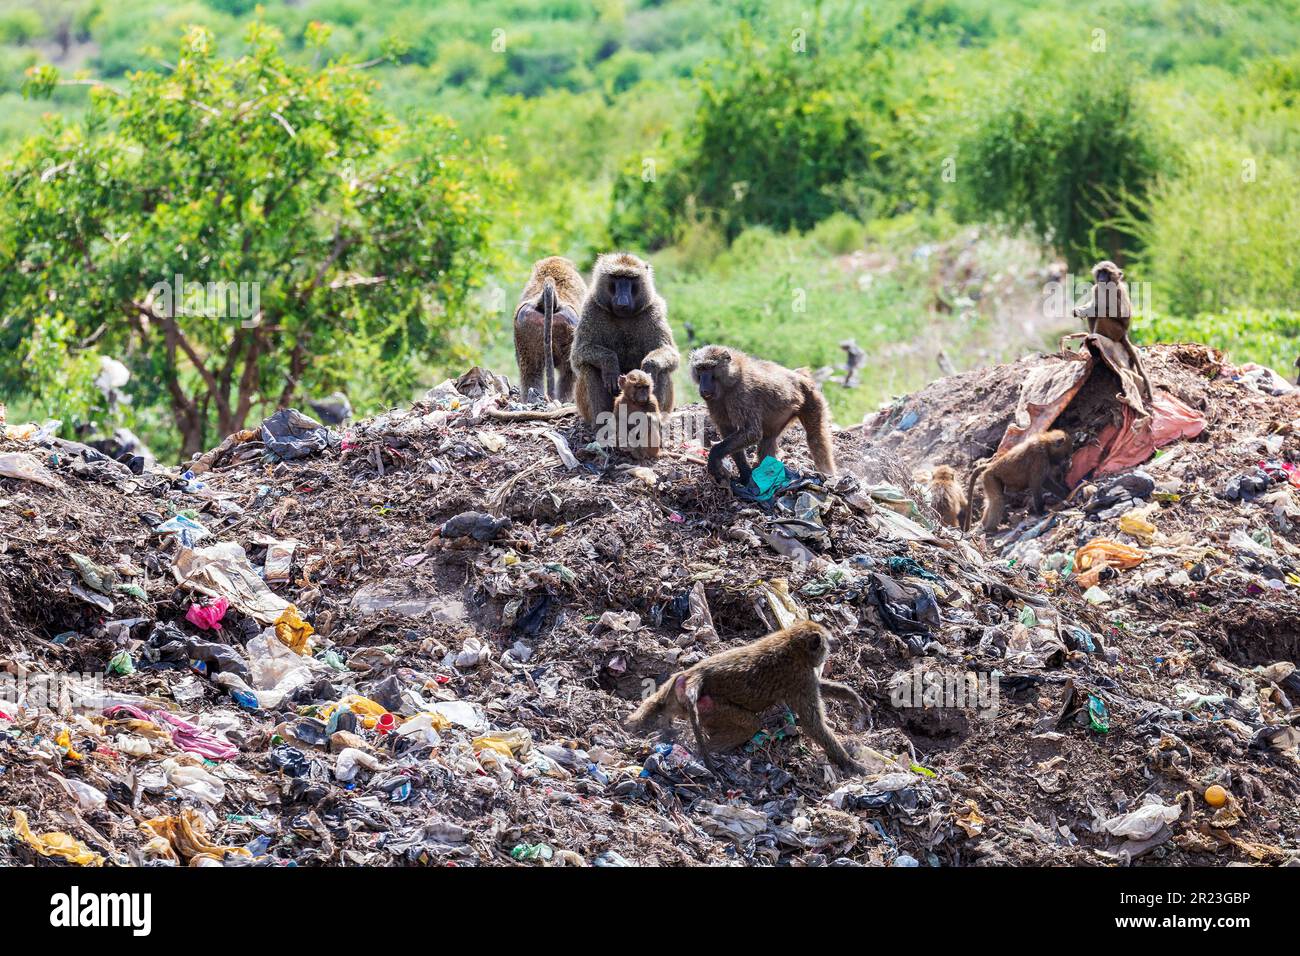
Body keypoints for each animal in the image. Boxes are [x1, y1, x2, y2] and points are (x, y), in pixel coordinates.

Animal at [570, 252, 679, 426]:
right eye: (616, 277)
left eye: (630, 278)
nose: (622, 301)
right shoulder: (591, 307)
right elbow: (578, 353)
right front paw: (610, 364)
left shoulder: (654, 309)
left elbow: (668, 352)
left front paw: (649, 366)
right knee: (589, 368)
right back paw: (601, 423)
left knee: (662, 371)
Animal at [624, 621, 866, 775]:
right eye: (826, 642)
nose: (834, 645)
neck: (792, 644)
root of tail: (695, 675)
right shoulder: (800, 677)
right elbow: (813, 724)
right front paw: (850, 763)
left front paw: (851, 696)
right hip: (712, 707)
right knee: (750, 724)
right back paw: (711, 749)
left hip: (673, 687)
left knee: (656, 703)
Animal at [688, 345, 836, 484]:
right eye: (700, 368)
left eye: (711, 367)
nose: (704, 388)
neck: (732, 378)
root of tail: (800, 376)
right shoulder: (715, 401)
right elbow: (728, 430)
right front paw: (745, 475)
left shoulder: (742, 395)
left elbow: (752, 432)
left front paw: (714, 458)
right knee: (768, 440)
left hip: (812, 397)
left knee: (815, 437)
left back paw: (827, 473)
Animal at [1073, 260, 1154, 402]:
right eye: (1100, 272)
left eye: (1106, 272)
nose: (1101, 278)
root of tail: (1124, 334)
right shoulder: (1097, 288)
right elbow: (1095, 298)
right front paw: (1080, 309)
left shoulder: (1116, 291)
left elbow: (1120, 313)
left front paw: (1085, 310)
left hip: (1117, 331)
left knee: (1102, 316)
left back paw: (1095, 336)